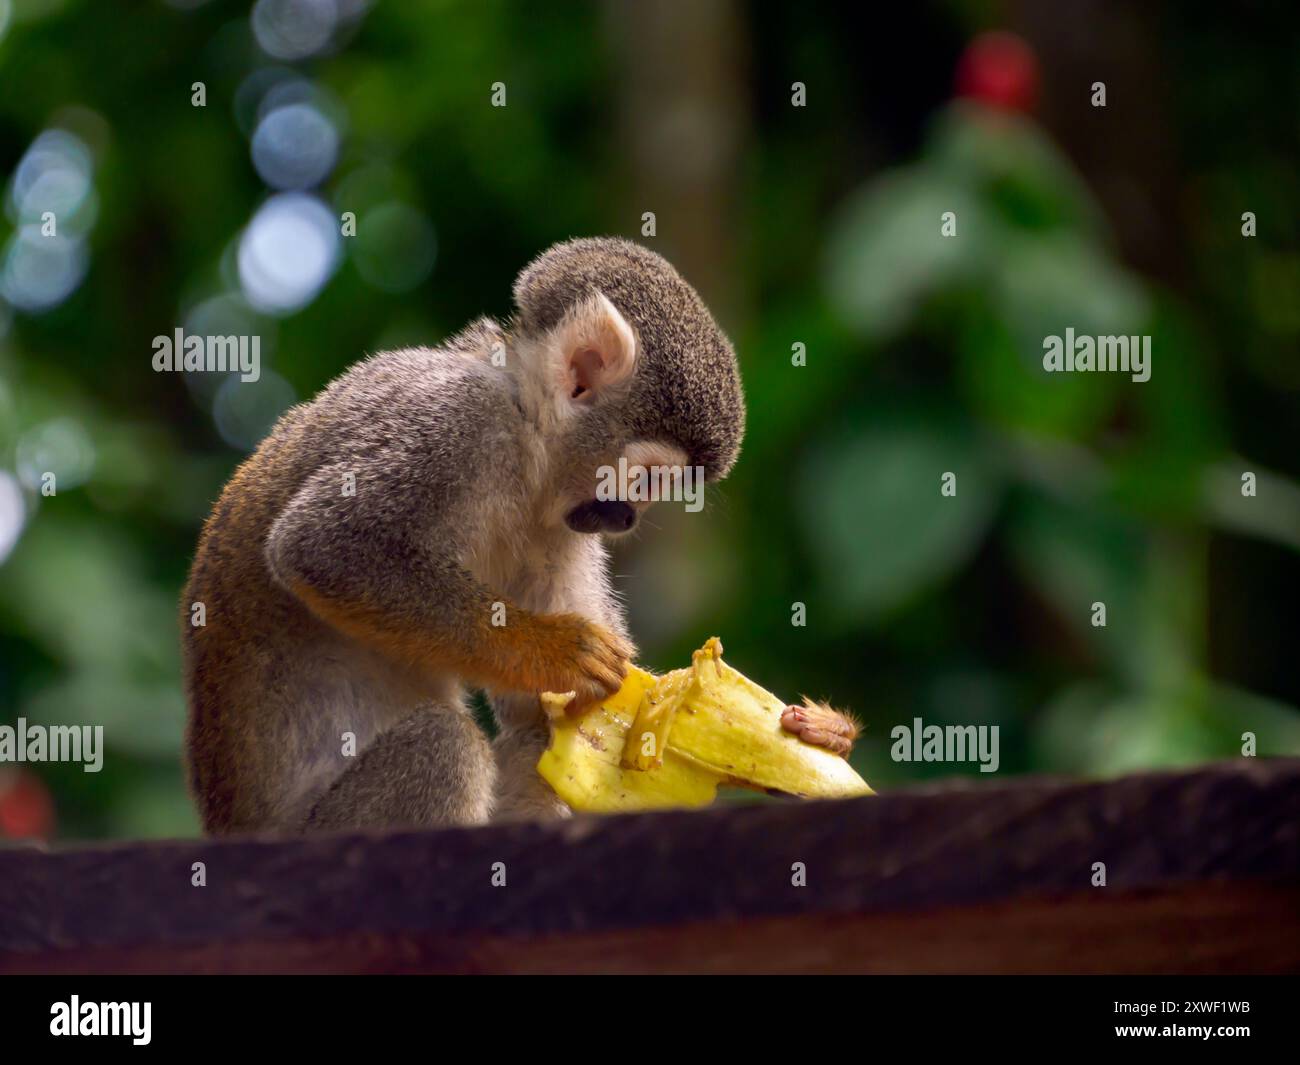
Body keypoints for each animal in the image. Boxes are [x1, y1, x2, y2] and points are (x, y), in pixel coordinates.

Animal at [181, 236, 859, 835]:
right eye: (644, 479)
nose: (626, 521)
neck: (525, 426)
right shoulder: (456, 422)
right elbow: (321, 546)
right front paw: (558, 650)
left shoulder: (558, 522)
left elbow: (541, 713)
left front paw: (826, 735)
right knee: (442, 746)